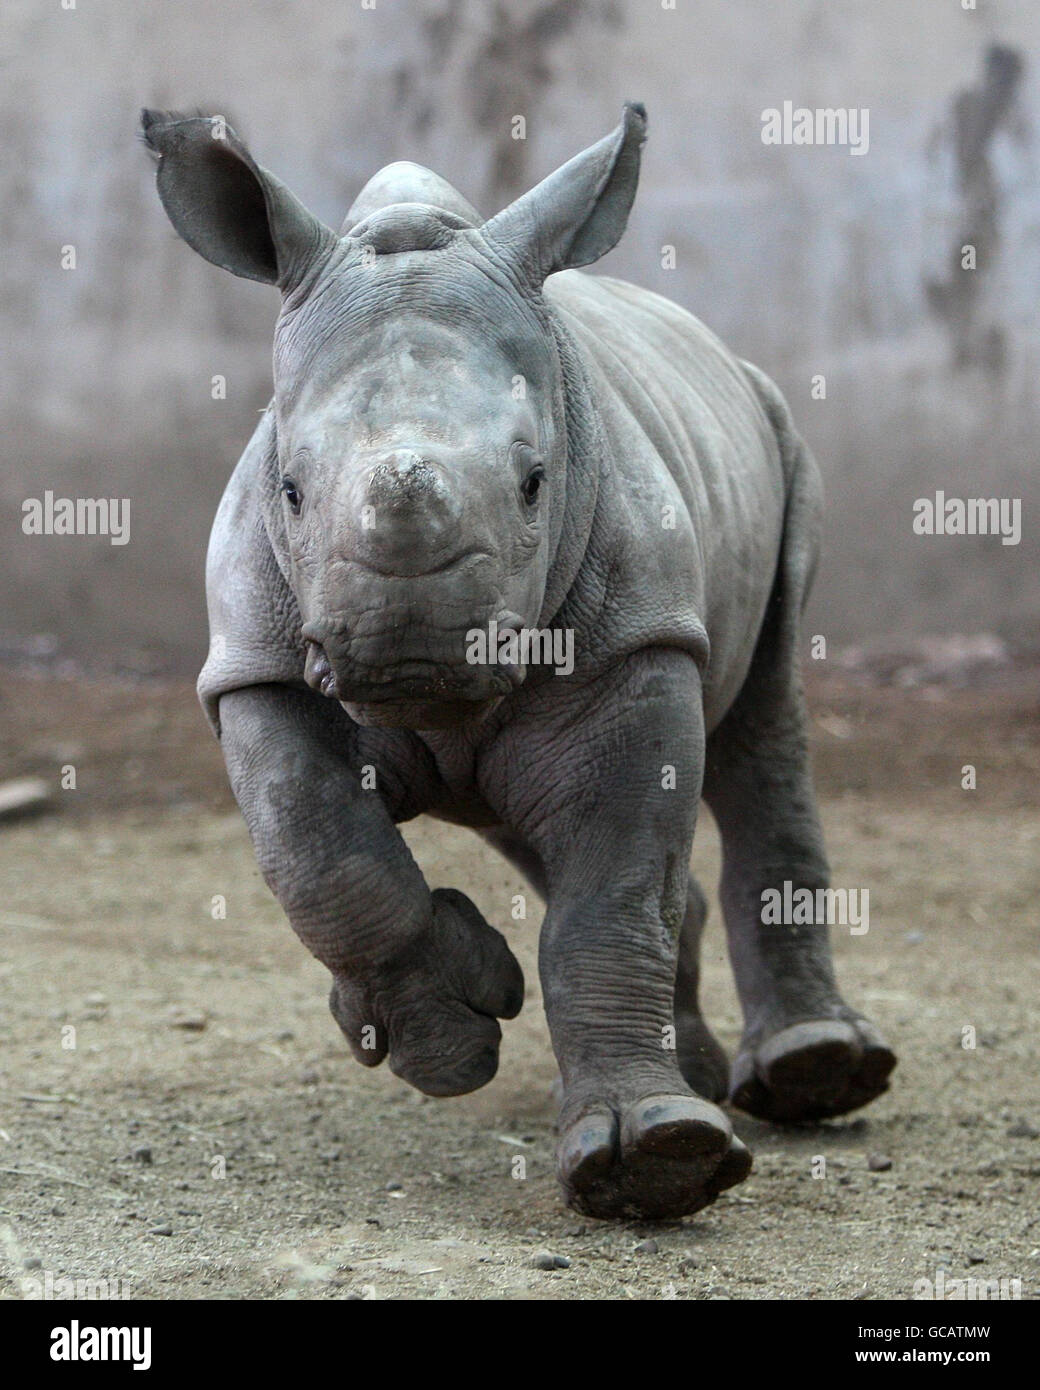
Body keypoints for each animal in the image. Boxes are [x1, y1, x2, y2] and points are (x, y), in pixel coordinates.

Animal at [142, 103, 896, 1220]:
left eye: (536, 480)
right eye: (289, 489)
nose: (411, 650)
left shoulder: (639, 639)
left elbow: (609, 899)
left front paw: (654, 1162)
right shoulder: (257, 665)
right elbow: (324, 859)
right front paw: (448, 1037)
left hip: (775, 432)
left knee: (764, 724)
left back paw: (809, 1076)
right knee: (517, 820)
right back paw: (696, 1067)